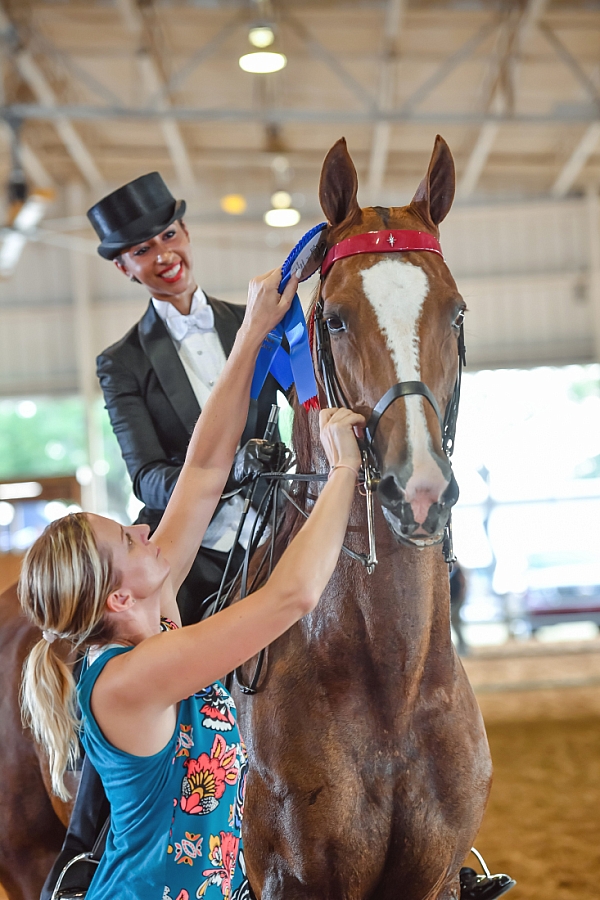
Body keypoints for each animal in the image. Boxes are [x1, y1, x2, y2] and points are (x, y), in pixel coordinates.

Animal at [233, 135, 492, 900]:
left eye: (456, 313)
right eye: (337, 317)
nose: (421, 489)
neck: (395, 688)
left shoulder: (433, 877)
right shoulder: (293, 877)